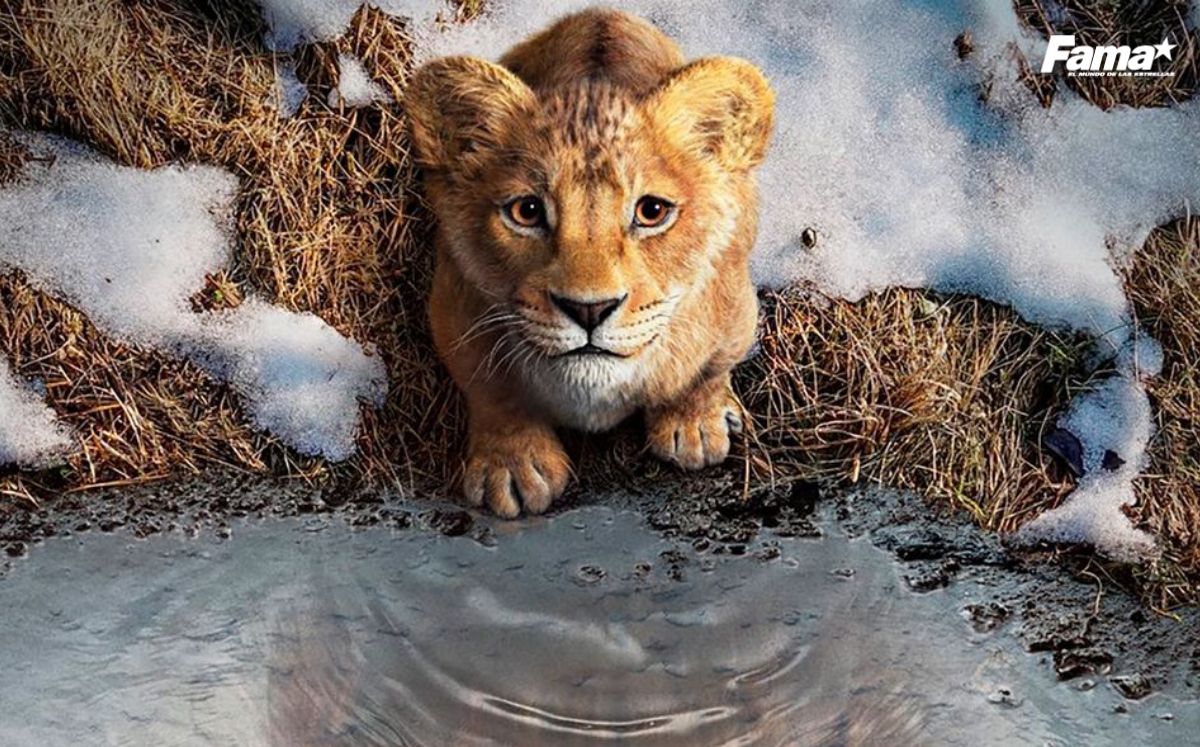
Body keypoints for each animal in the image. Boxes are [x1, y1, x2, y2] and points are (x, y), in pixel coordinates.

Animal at [406, 8, 775, 517]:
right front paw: (513, 466)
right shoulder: (453, 307)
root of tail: (602, 13)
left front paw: (694, 425)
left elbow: (706, 370)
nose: (589, 309)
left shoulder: (735, 309)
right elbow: (492, 390)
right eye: (527, 211)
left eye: (652, 211)